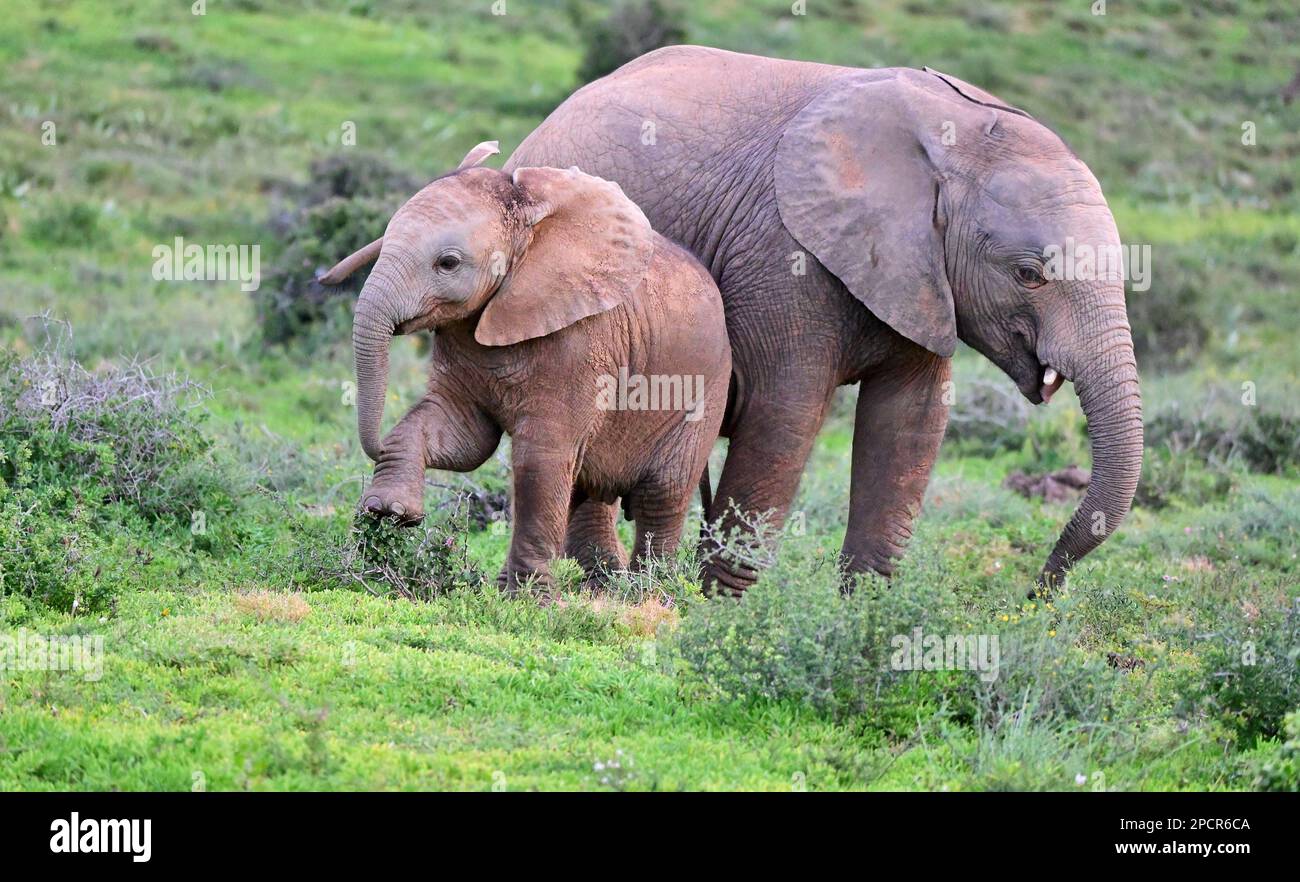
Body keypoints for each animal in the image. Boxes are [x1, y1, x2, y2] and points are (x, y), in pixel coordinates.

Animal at [319, 143, 731, 592]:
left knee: (662, 496)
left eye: (448, 263)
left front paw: (523, 598)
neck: (530, 224)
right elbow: (463, 437)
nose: (374, 445)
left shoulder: (580, 342)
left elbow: (539, 461)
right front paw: (388, 511)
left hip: (704, 389)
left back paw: (648, 594)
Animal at [504, 45, 1143, 594]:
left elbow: (909, 423)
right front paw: (719, 616)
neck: (955, 139)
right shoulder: (784, 253)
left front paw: (866, 619)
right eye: (1029, 274)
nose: (1040, 590)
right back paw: (609, 586)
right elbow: (785, 413)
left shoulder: (919, 279)